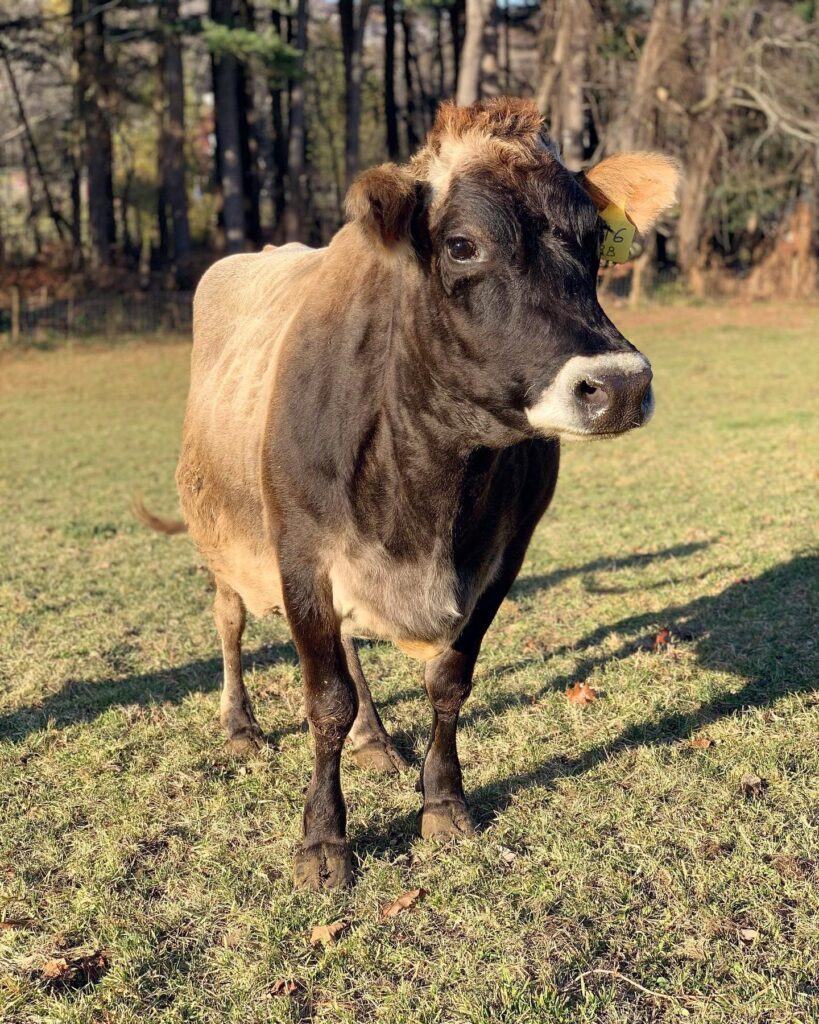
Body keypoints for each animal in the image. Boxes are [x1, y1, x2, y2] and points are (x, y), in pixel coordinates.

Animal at [140, 98, 680, 889]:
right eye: (461, 245)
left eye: (592, 245)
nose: (619, 386)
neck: (429, 481)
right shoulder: (300, 554)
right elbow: (324, 701)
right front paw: (323, 840)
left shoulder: (504, 556)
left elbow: (449, 681)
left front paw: (443, 803)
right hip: (220, 532)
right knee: (230, 621)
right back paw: (240, 727)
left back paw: (374, 738)